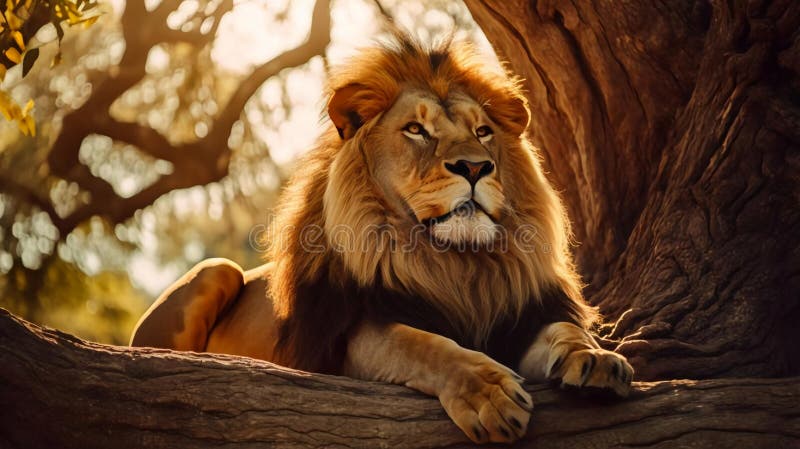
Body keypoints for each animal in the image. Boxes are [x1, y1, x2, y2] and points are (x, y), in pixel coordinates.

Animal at [131, 34, 633, 444]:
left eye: (483, 131)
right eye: (416, 130)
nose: (475, 167)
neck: (456, 266)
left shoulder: (517, 318)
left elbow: (565, 329)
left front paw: (595, 357)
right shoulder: (347, 340)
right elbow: (422, 344)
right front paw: (488, 393)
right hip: (217, 270)